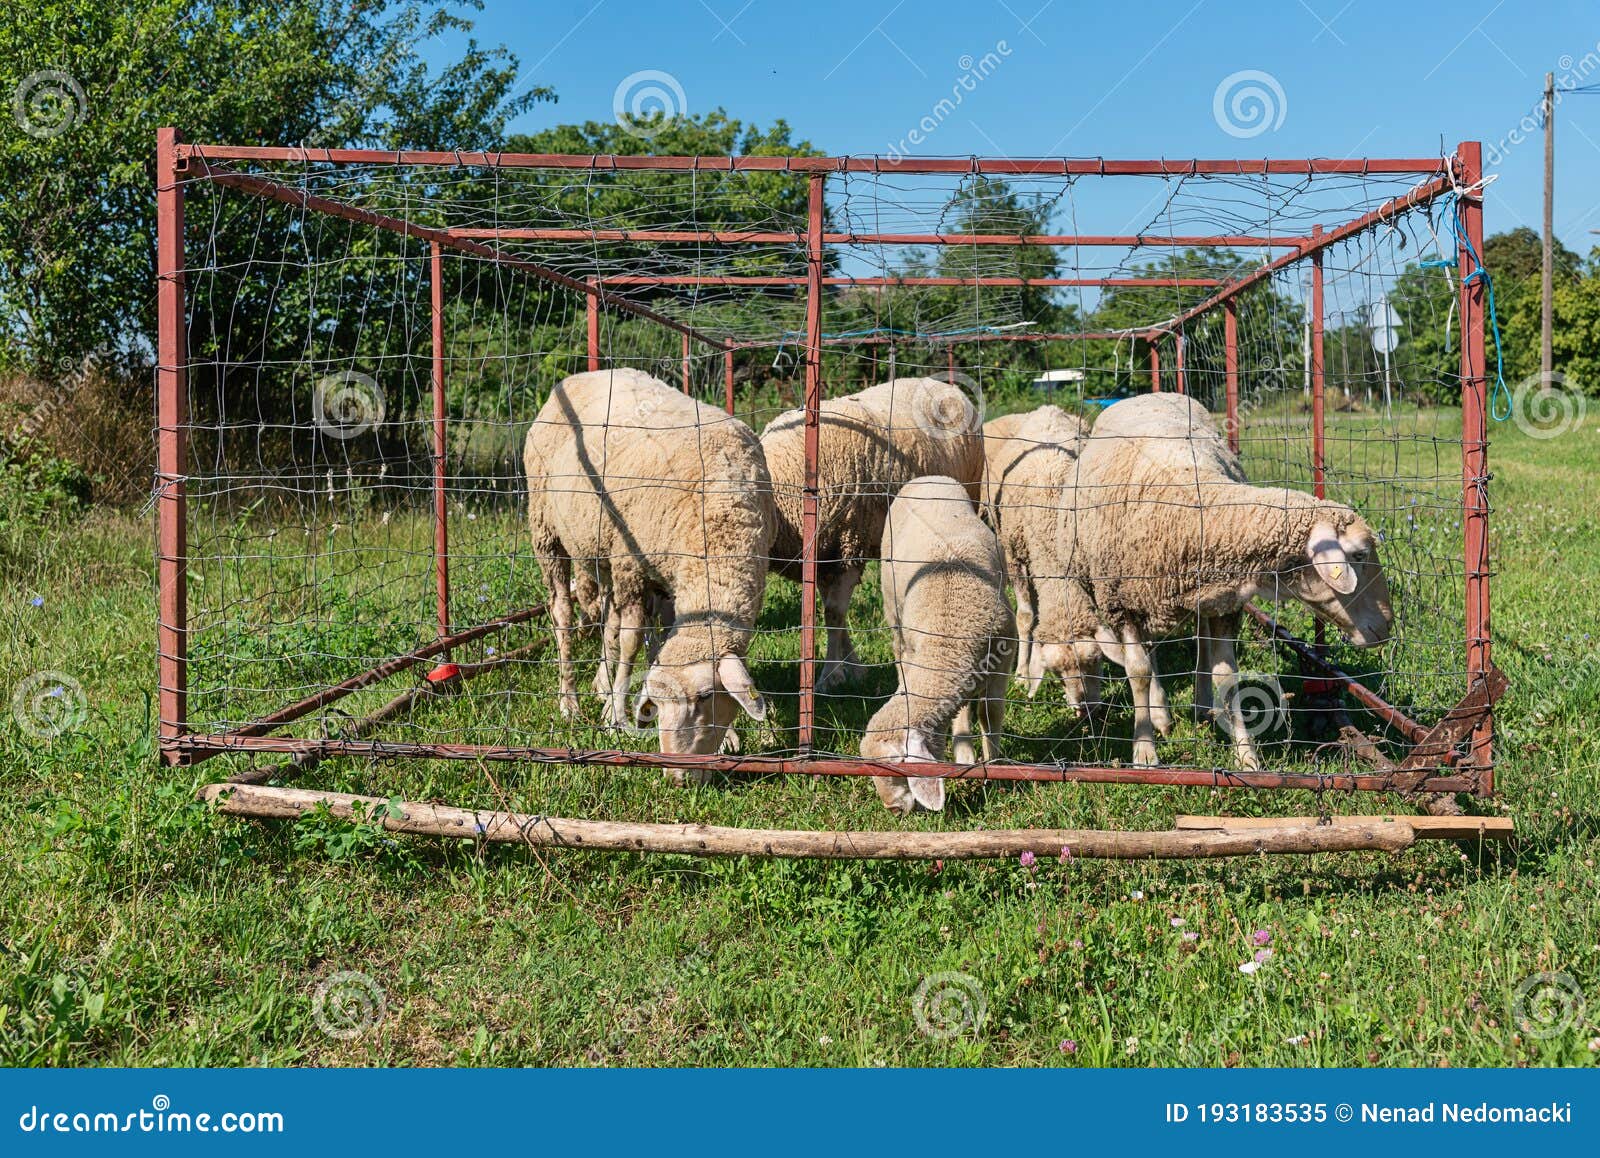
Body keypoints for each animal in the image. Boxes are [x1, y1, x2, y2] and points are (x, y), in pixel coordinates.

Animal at [525, 368, 775, 766]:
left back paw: (599, 683)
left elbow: (647, 640)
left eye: (707, 696)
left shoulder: (666, 575)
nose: (676, 756)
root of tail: (578, 377)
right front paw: (615, 716)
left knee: (606, 617)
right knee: (563, 612)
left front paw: (728, 738)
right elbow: (630, 641)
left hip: (601, 547)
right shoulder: (632, 565)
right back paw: (570, 702)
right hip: (547, 531)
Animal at [760, 377, 985, 690]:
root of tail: (944, 385)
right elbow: (832, 611)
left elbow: (834, 613)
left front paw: (831, 675)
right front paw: (853, 668)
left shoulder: (849, 546)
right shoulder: (823, 556)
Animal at [860, 475, 1016, 814]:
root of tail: (927, 477)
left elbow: (990, 711)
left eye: (897, 763)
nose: (892, 810)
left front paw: (994, 767)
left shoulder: (1003, 655)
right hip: (894, 615)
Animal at [981, 405, 1104, 712]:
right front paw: (1023, 675)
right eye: (1057, 674)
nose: (1085, 709)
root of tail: (1049, 408)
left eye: (1095, 662)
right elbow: (1025, 617)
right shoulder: (1015, 556)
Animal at [1059, 393, 1393, 770]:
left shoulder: (1224, 603)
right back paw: (1161, 715)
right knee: (1150, 654)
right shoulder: (1120, 604)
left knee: (1199, 642)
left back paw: (1202, 705)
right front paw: (1144, 751)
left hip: (1201, 597)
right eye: (1360, 555)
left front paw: (1246, 755)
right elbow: (1139, 672)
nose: (1387, 624)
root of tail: (1147, 395)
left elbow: (1227, 677)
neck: (1190, 511)